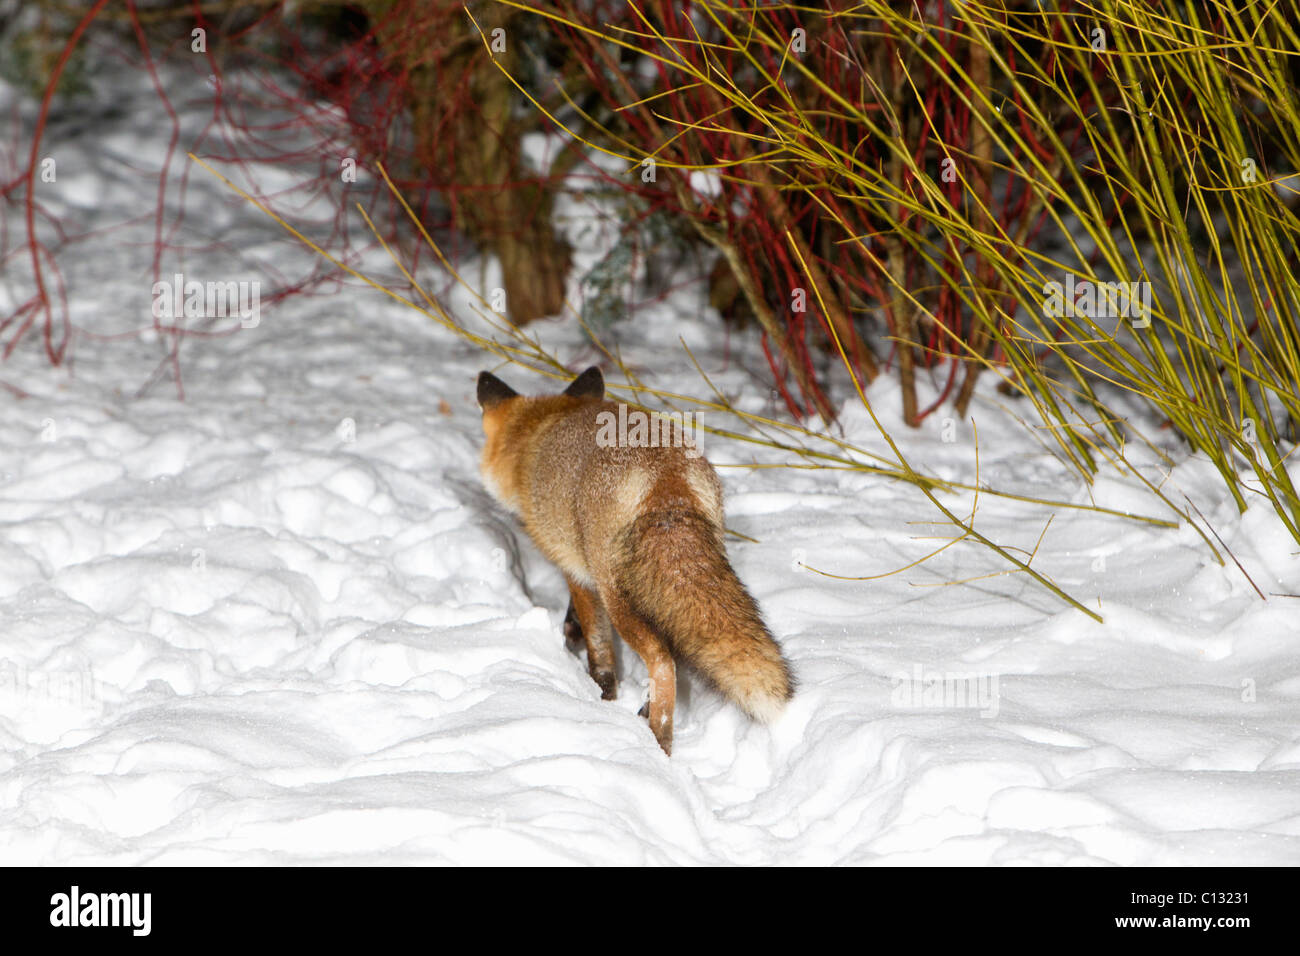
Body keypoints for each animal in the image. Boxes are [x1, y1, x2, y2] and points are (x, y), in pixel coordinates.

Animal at [476, 365, 794, 755]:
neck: (537, 434)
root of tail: (666, 477)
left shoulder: (577, 571)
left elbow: (598, 646)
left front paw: (602, 692)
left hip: (620, 597)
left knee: (662, 661)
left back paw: (657, 741)